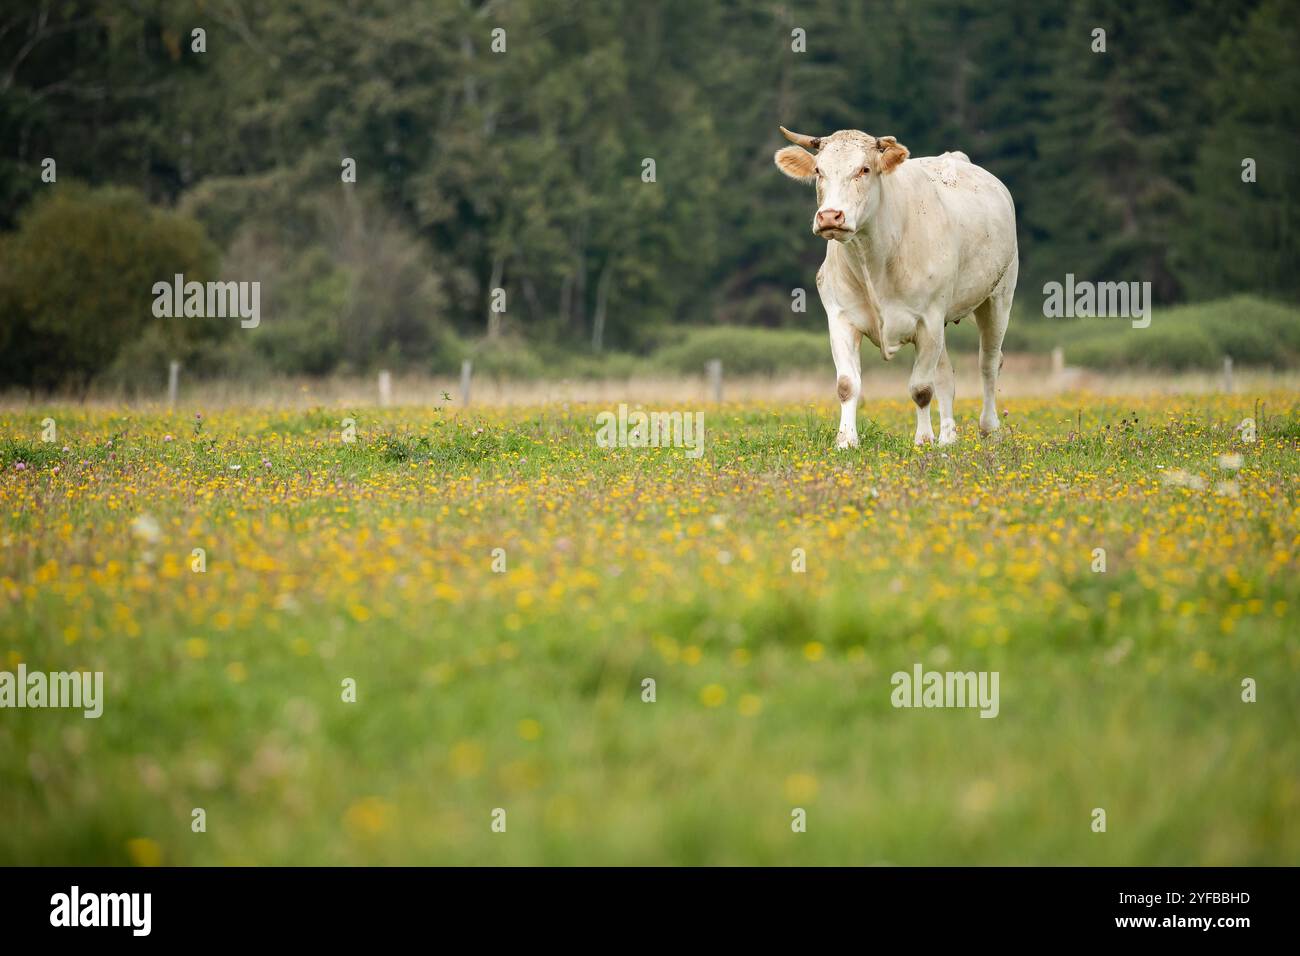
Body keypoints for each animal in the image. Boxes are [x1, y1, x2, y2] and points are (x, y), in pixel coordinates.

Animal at [773, 126, 1018, 448]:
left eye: (864, 169)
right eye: (818, 170)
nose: (829, 216)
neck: (873, 259)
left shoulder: (928, 320)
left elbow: (921, 388)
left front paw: (923, 440)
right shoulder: (840, 317)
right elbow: (847, 385)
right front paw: (846, 441)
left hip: (998, 297)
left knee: (988, 363)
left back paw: (989, 429)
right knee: (946, 375)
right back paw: (947, 438)